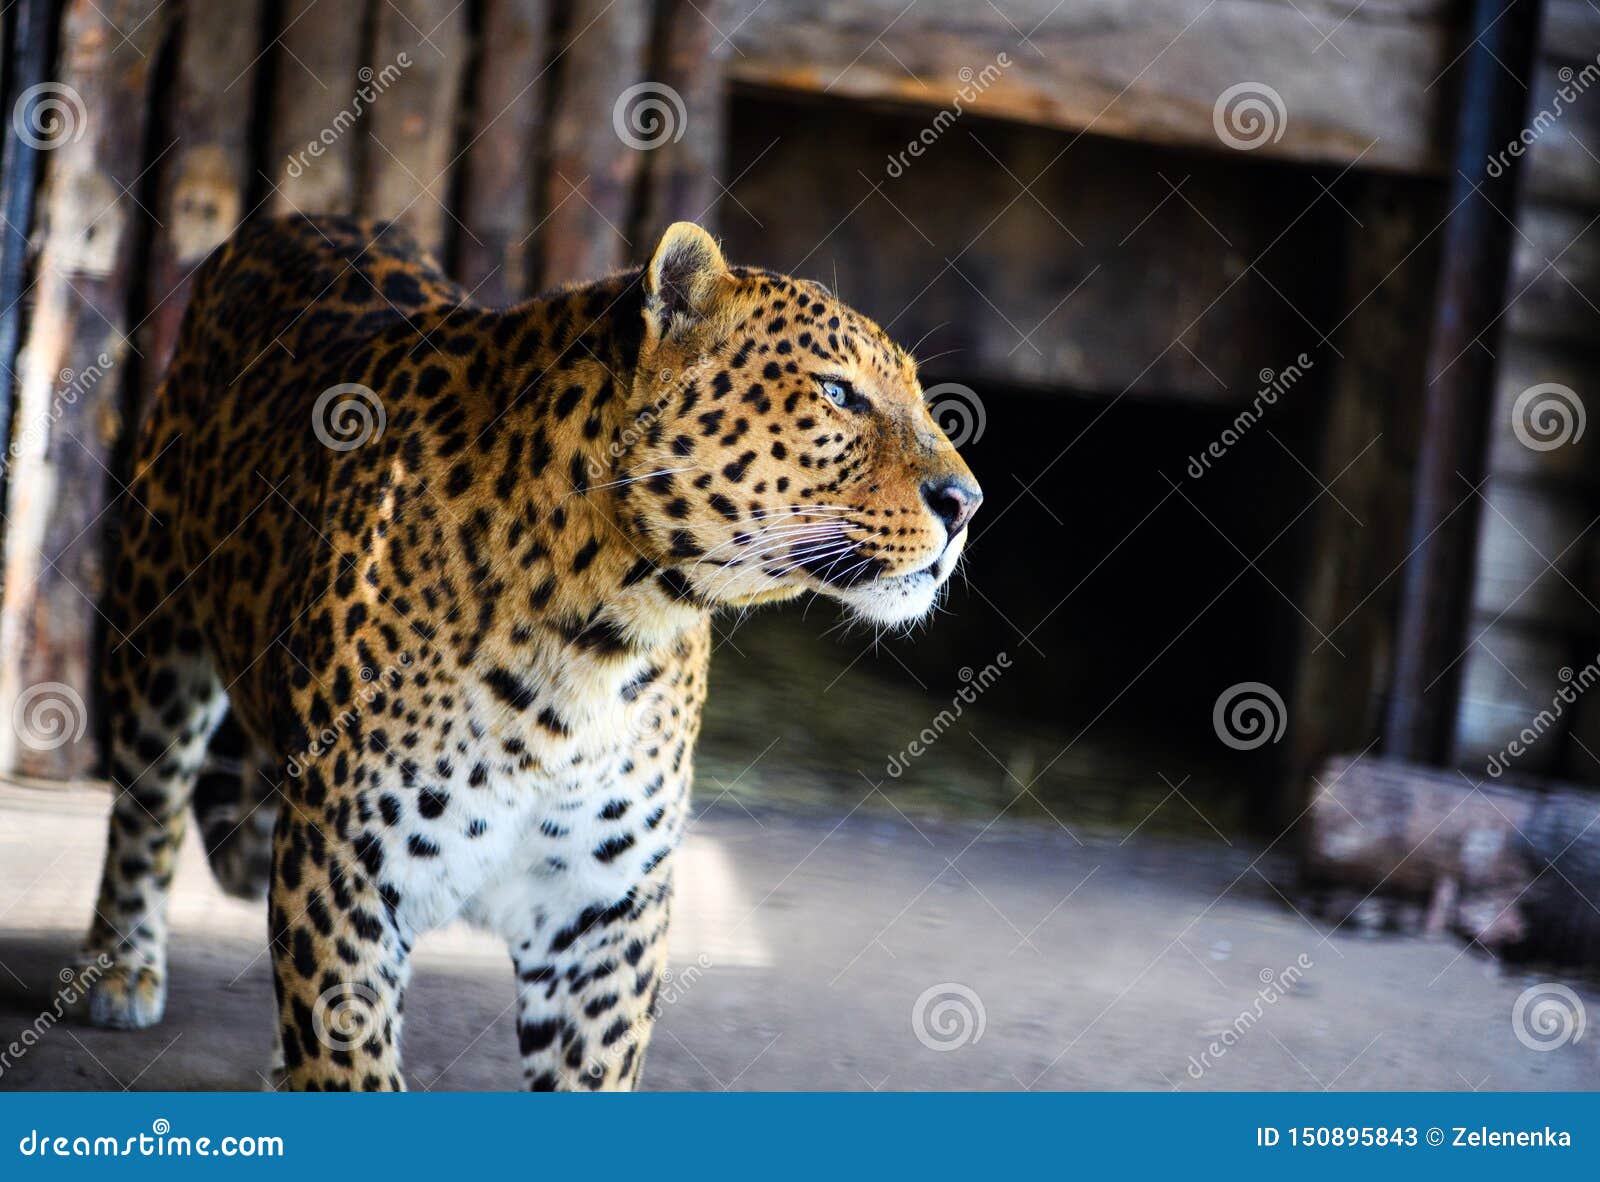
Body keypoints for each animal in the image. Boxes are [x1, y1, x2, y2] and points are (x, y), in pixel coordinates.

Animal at [80, 212, 982, 1090]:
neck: (604, 634)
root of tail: (288, 219)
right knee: (144, 807)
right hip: (155, 631)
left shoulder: (606, 910)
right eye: (837, 393)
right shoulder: (342, 868)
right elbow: (351, 1057)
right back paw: (121, 969)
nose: (967, 501)